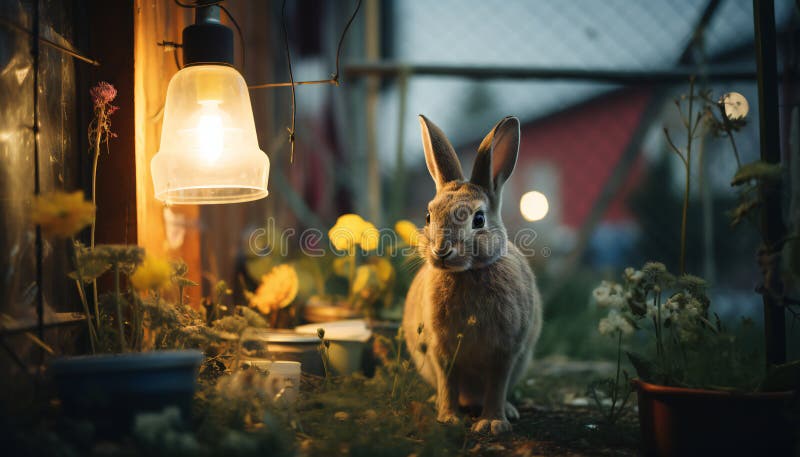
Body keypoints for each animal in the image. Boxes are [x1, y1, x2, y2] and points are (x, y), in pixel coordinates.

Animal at [402, 115, 542, 435]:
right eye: (428, 216)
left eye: (478, 219)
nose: (441, 250)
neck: (467, 273)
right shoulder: (441, 350)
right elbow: (448, 381)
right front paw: (448, 418)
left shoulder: (505, 352)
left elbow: (497, 386)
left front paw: (493, 423)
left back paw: (508, 411)